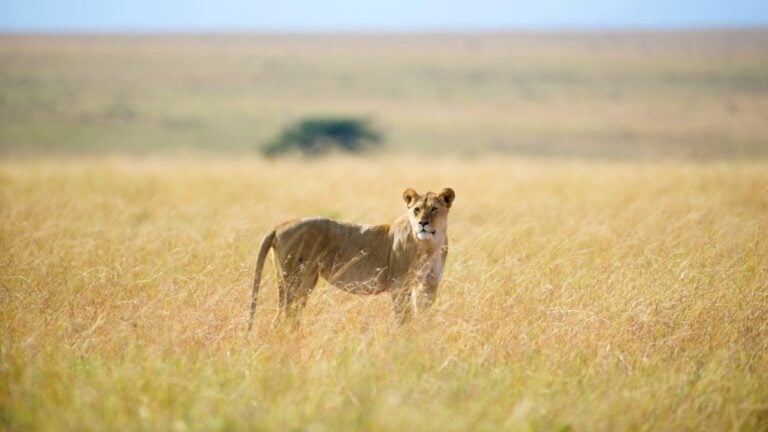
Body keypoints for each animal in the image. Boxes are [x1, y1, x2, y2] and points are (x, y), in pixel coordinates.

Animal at [248, 187, 455, 330]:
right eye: (417, 209)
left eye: (434, 209)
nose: (422, 223)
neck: (429, 246)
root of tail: (281, 225)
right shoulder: (400, 283)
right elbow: (403, 317)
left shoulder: (428, 284)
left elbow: (423, 316)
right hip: (299, 280)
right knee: (285, 317)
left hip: (292, 281)